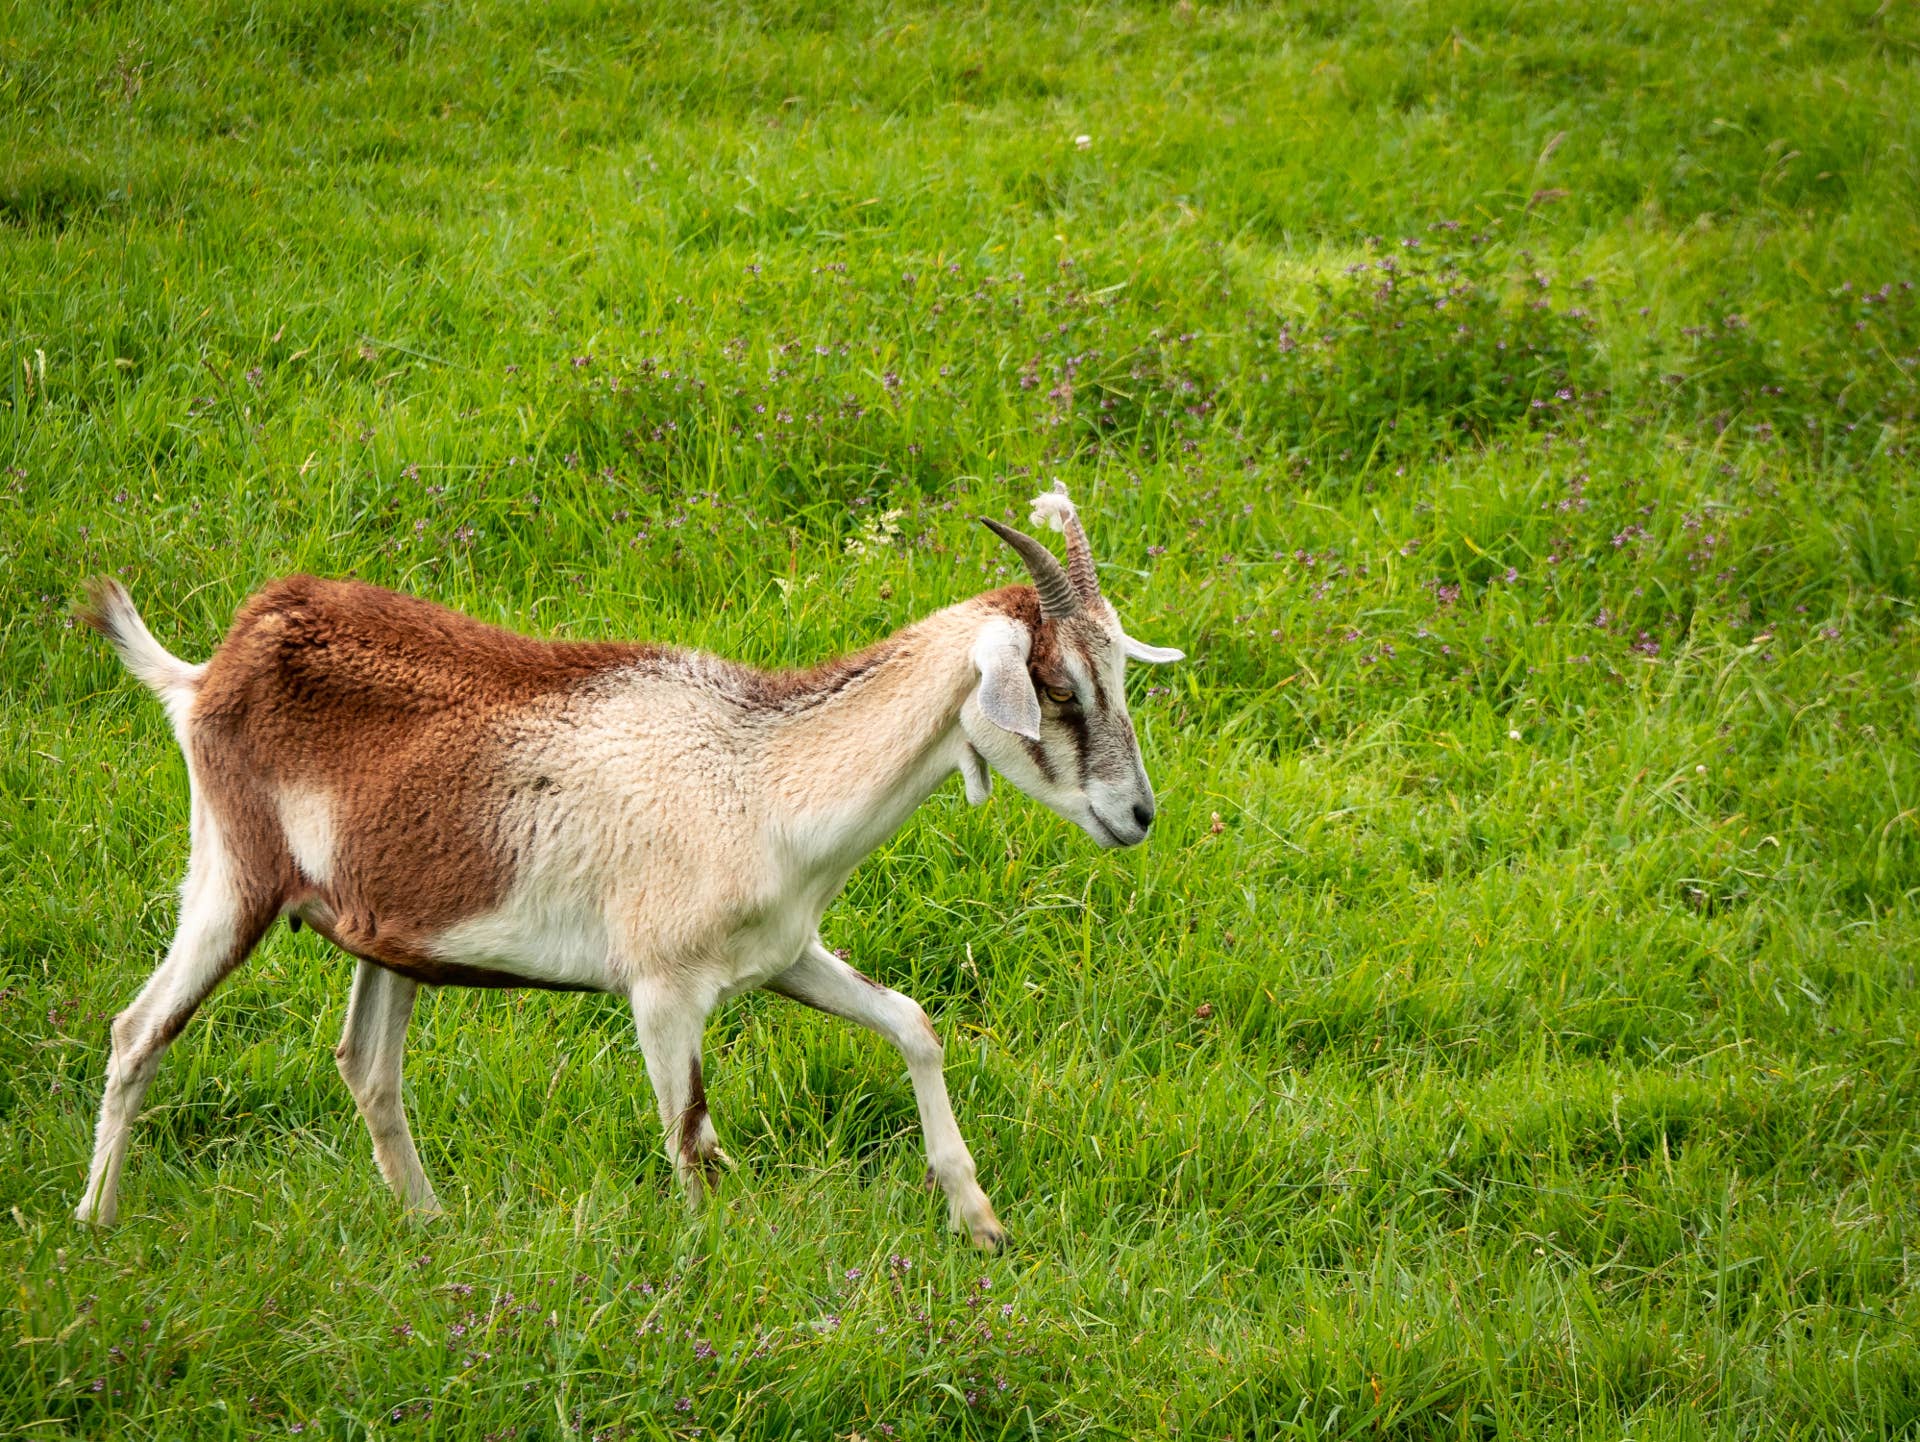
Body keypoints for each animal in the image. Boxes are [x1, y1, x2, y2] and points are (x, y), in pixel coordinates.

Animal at [72, 484, 1182, 1248]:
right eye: (1060, 689)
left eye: (1117, 673)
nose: (1136, 814)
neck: (760, 778)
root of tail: (212, 667)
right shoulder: (661, 990)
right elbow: (692, 1140)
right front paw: (714, 1276)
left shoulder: (785, 954)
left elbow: (913, 1022)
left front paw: (979, 1218)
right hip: (233, 877)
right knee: (139, 1030)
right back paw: (96, 1224)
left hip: (386, 928)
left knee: (367, 1068)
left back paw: (432, 1226)